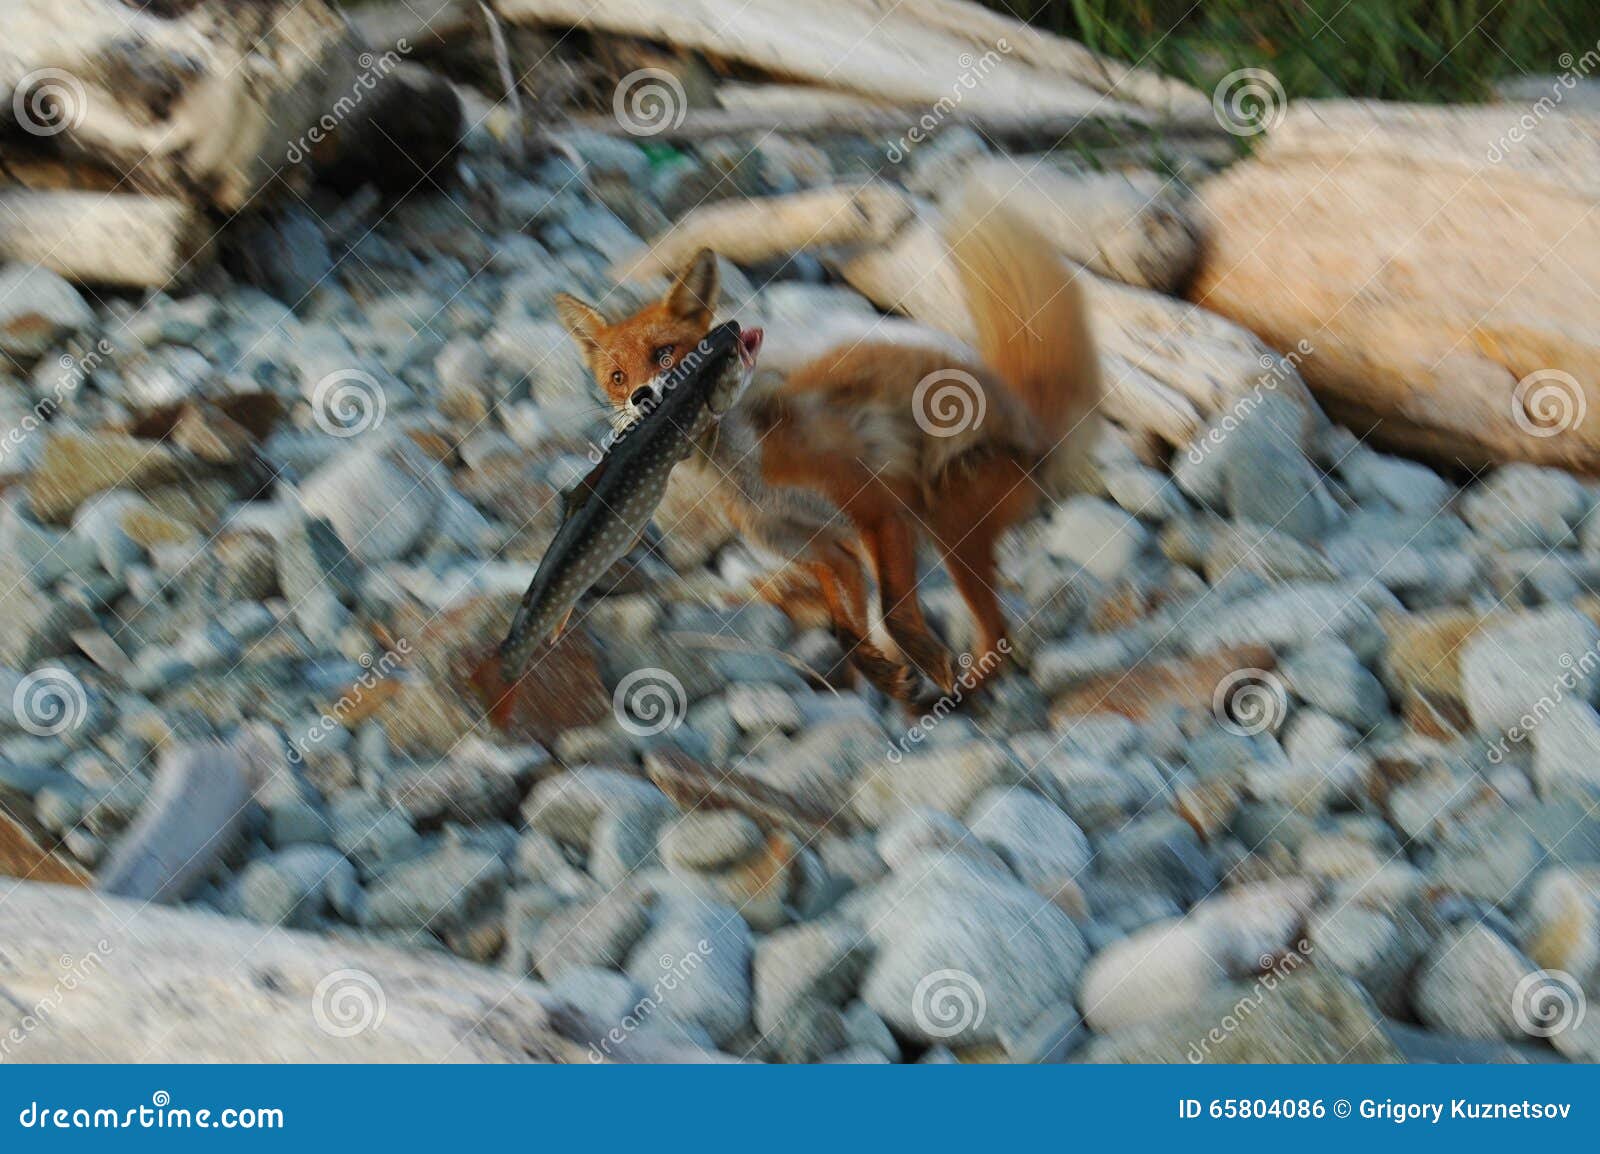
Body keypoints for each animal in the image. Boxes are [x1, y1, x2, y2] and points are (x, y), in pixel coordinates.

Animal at [553, 187, 1102, 702]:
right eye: (618, 378)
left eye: (666, 354)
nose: (643, 398)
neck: (748, 467)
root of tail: (1027, 420)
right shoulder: (824, 551)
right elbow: (847, 628)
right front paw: (885, 673)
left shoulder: (877, 512)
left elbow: (895, 612)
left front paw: (926, 662)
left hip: (950, 527)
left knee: (997, 637)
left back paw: (961, 697)